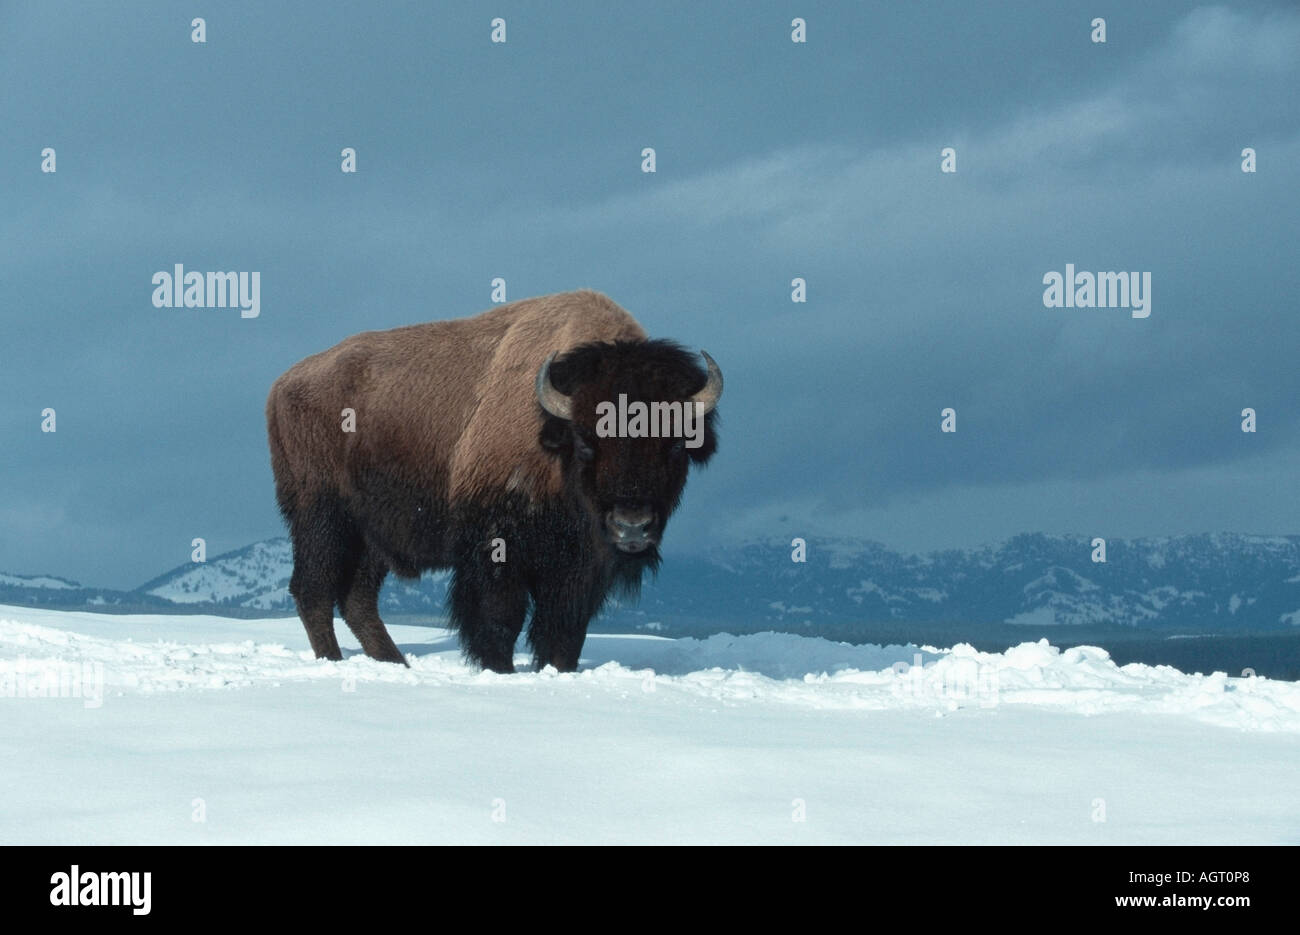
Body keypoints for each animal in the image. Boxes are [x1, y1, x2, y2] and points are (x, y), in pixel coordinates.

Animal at [266, 290, 721, 672]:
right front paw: (499, 670)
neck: (551, 433)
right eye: (585, 441)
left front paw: (556, 670)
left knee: (357, 599)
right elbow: (500, 619)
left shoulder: (580, 570)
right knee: (313, 591)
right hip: (322, 519)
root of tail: (284, 384)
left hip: (372, 535)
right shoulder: (495, 549)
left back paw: (396, 664)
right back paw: (335, 662)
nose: (632, 526)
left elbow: (564, 631)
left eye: (676, 444)